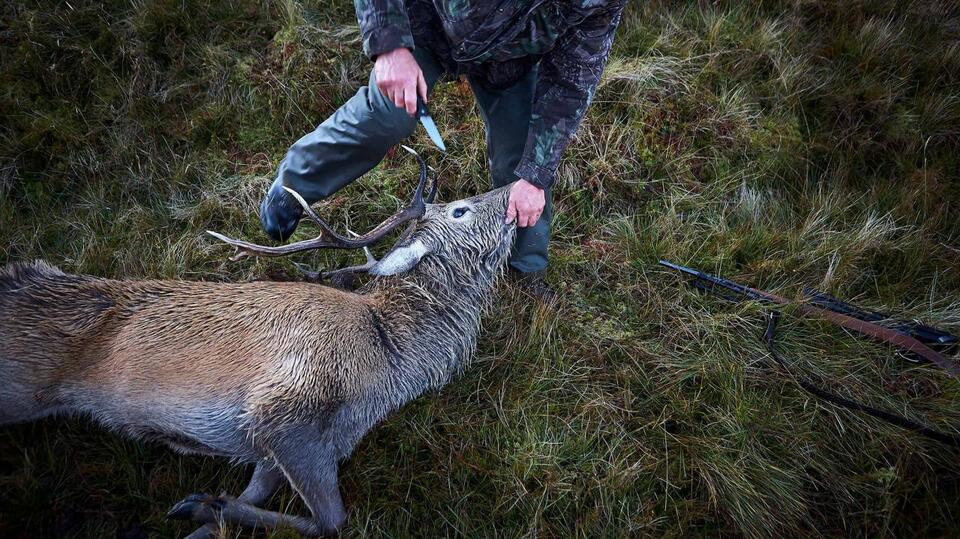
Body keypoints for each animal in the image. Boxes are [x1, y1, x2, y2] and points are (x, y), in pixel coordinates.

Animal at [0, 147, 518, 537]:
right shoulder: (283, 407)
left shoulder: (286, 445)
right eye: (461, 209)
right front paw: (201, 506)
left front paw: (206, 513)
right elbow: (332, 521)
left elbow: (253, 494)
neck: (387, 360)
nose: (515, 188)